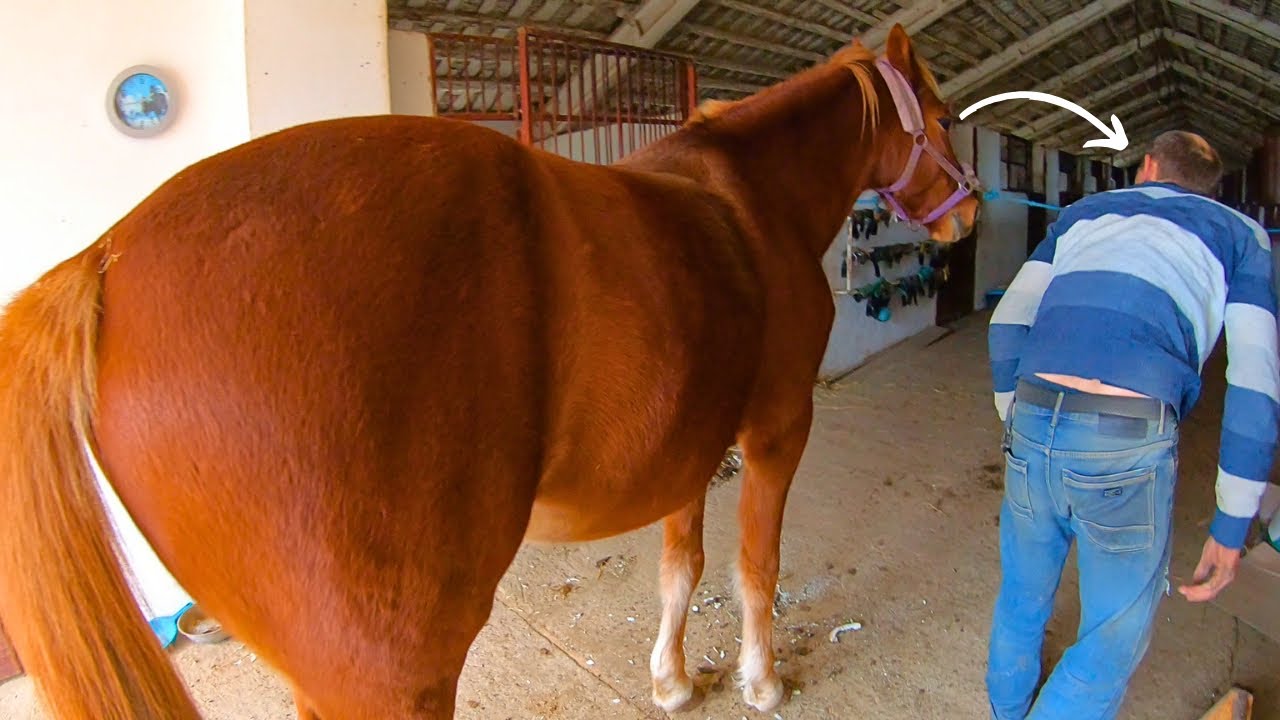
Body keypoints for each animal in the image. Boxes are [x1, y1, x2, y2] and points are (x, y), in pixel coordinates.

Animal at [0, 23, 977, 720]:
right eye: (938, 119)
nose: (967, 220)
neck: (749, 199)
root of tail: (100, 265)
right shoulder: (776, 430)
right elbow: (756, 567)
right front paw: (761, 683)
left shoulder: (688, 449)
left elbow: (682, 567)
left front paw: (672, 682)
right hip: (395, 673)